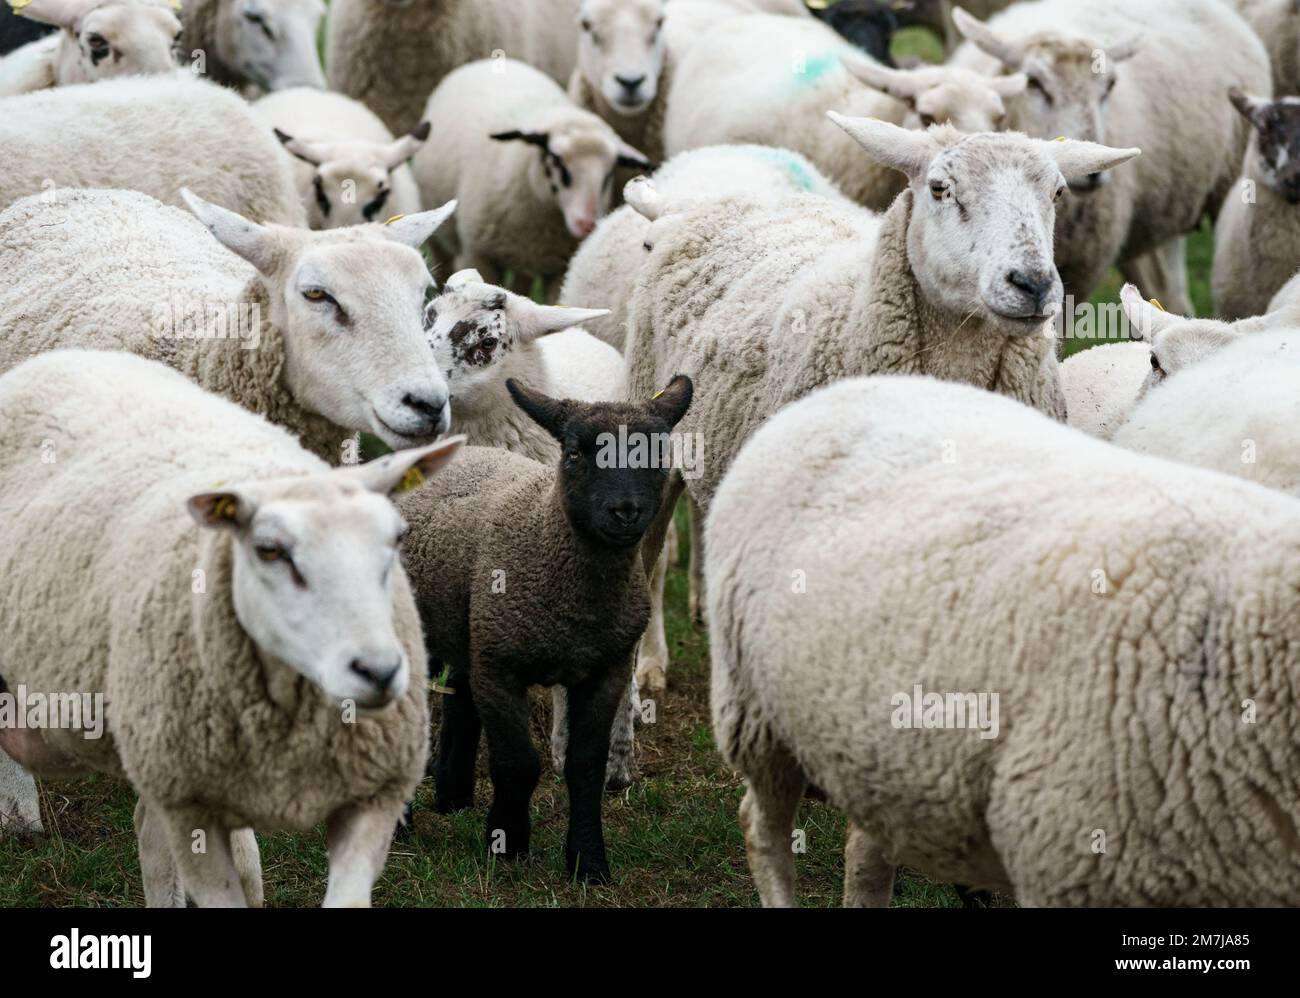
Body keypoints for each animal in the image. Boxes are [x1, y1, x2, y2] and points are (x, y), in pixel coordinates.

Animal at [0, 348, 464, 906]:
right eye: (270, 551)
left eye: (397, 536)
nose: (379, 671)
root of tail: (71, 354)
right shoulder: (192, 807)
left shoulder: (374, 800)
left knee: (148, 831)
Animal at [397, 376, 693, 883]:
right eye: (573, 453)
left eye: (657, 454)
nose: (625, 511)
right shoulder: (500, 669)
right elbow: (518, 763)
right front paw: (508, 842)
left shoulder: (607, 670)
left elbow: (586, 765)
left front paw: (588, 862)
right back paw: (403, 824)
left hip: (471, 623)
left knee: (461, 695)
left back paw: (453, 794)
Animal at [411, 57, 652, 298]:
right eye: (555, 159)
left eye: (609, 171)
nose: (586, 224)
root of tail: (485, 61)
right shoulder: (477, 255)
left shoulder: (559, 270)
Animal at [621, 119, 1139, 690]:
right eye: (940, 188)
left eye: (1058, 193)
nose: (1033, 284)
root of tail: (716, 203)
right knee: (649, 559)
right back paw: (649, 664)